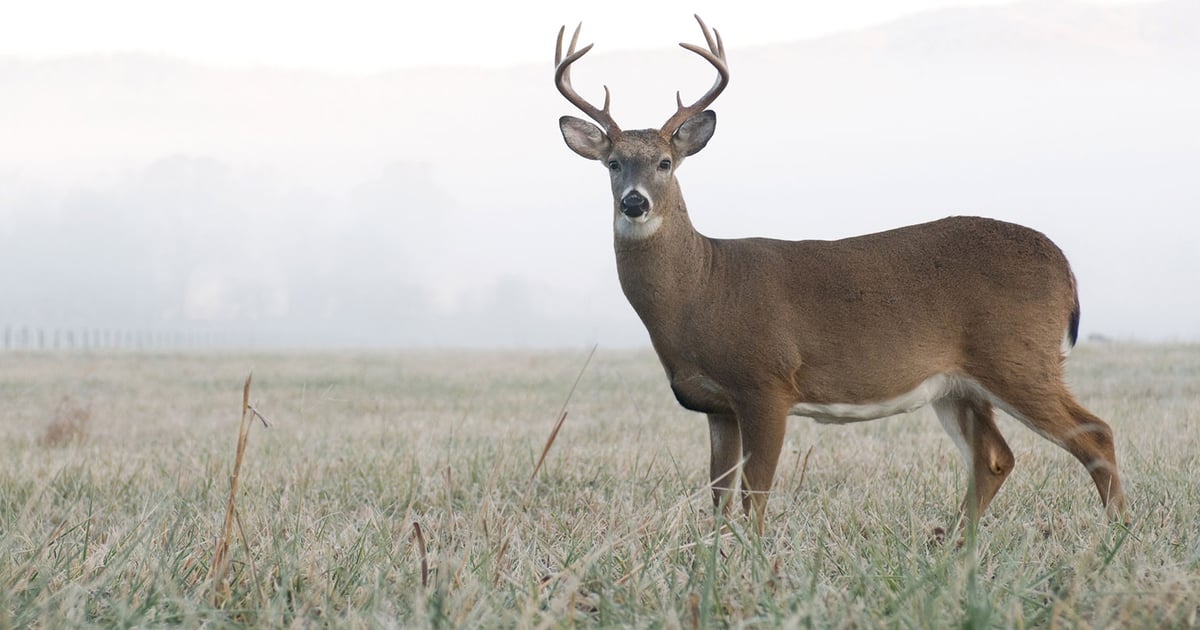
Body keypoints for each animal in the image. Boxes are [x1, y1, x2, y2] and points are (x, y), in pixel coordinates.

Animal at [554, 16, 1127, 532]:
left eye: (666, 162)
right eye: (613, 164)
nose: (634, 203)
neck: (701, 288)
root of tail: (1064, 266)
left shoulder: (766, 382)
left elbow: (755, 497)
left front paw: (753, 561)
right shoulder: (716, 404)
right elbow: (718, 498)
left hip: (1019, 357)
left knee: (1095, 433)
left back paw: (1117, 533)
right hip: (958, 384)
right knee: (995, 457)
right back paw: (954, 545)